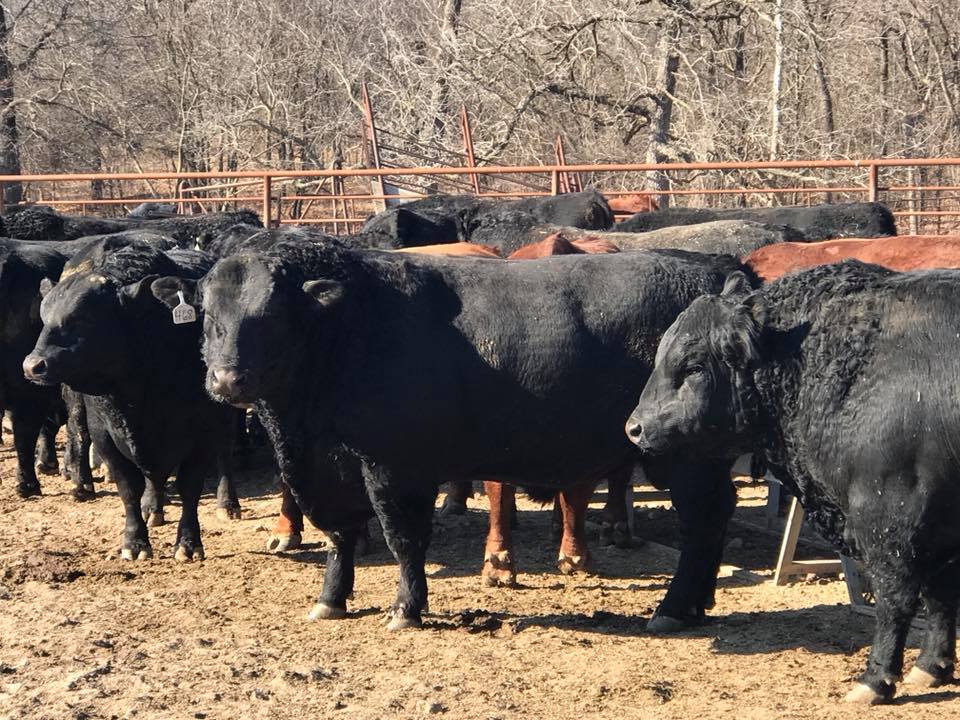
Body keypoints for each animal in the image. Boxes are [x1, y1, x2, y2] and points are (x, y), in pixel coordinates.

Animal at [23, 239, 241, 561]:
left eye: (84, 317)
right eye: (43, 317)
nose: (33, 366)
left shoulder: (202, 431)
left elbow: (190, 486)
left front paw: (188, 544)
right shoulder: (105, 434)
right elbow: (129, 488)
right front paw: (135, 542)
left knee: (225, 453)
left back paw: (228, 503)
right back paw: (151, 506)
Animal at [197, 242, 749, 629]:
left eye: (270, 316)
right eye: (208, 317)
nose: (227, 380)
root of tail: (721, 272)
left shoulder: (395, 468)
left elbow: (403, 539)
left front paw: (406, 608)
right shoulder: (334, 470)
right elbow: (341, 537)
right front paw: (330, 600)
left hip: (683, 458)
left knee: (702, 522)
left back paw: (674, 608)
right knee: (716, 515)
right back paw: (698, 602)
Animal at [625, 260, 960, 703]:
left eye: (693, 367)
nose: (634, 427)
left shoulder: (889, 518)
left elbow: (896, 599)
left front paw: (876, 679)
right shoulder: (939, 527)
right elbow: (942, 593)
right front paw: (932, 667)